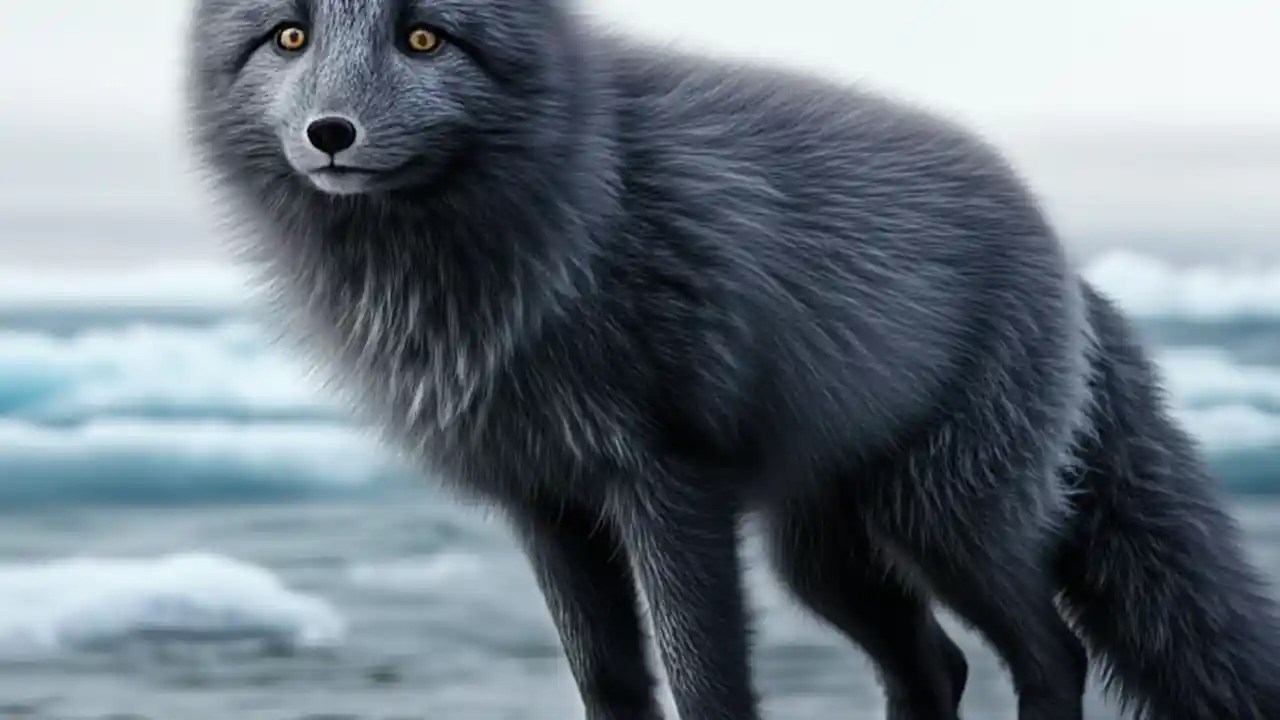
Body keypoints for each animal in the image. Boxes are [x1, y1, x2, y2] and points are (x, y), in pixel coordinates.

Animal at [186, 1, 1280, 718]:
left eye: (423, 36)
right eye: (289, 36)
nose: (330, 134)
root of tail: (1068, 266)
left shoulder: (668, 480)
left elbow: (706, 681)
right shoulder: (543, 498)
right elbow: (609, 682)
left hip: (944, 519)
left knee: (1049, 654)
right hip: (826, 558)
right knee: (934, 666)